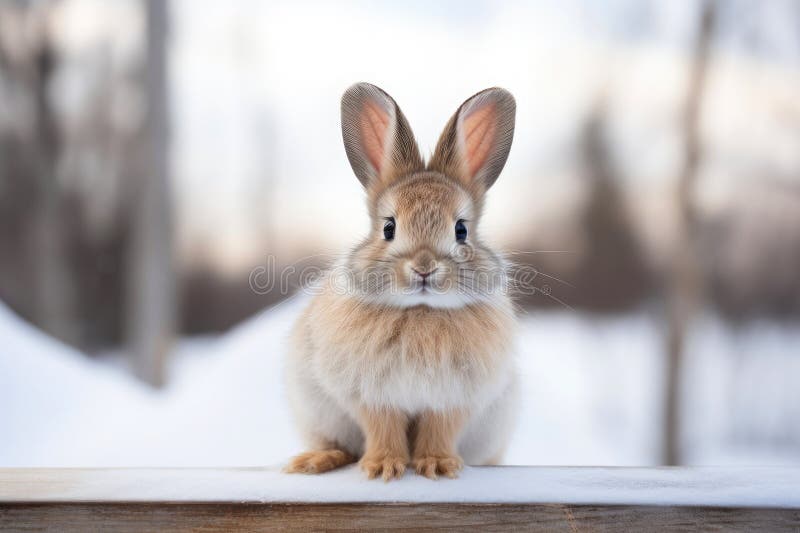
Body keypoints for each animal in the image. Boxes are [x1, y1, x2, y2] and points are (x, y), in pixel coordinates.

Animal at [284, 83, 518, 481]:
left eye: (461, 230)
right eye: (389, 228)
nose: (424, 268)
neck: (421, 310)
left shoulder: (451, 399)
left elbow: (439, 431)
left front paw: (437, 465)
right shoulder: (372, 396)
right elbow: (383, 429)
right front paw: (382, 467)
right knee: (337, 444)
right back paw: (315, 461)